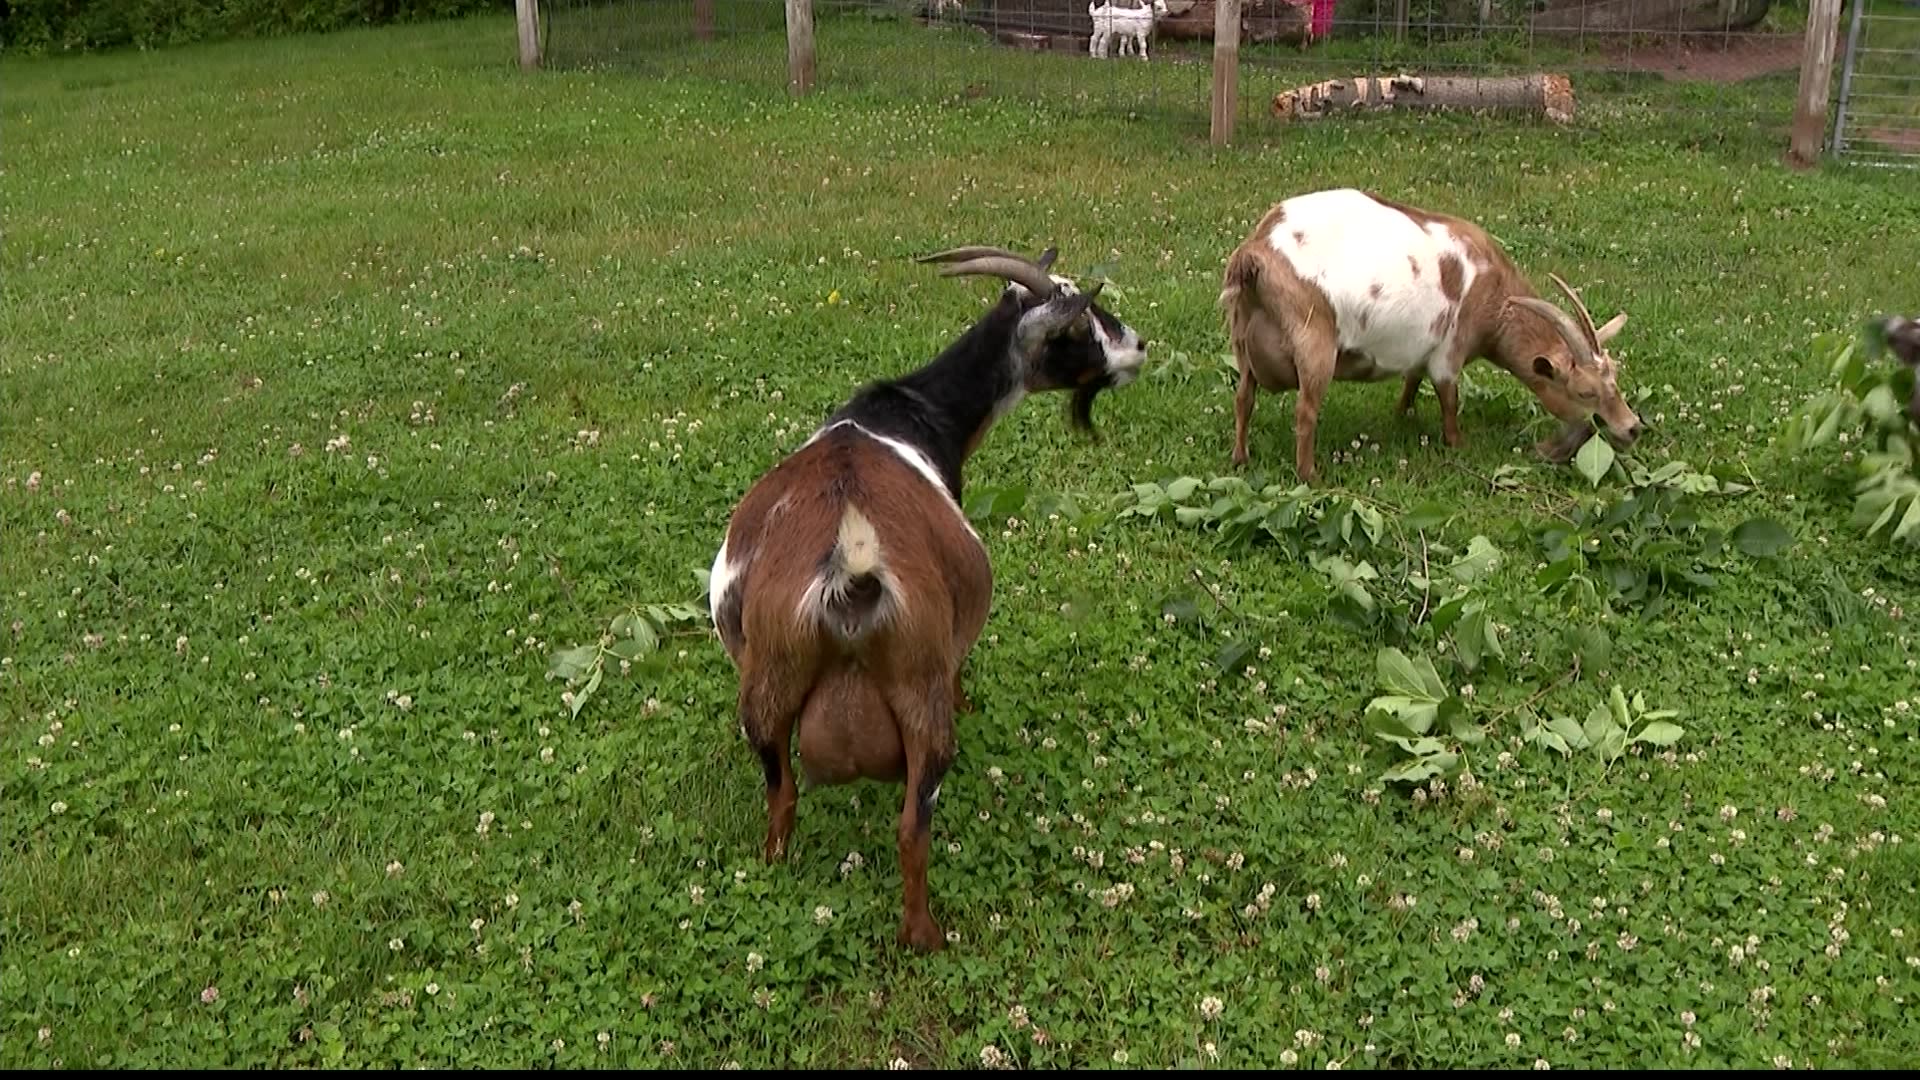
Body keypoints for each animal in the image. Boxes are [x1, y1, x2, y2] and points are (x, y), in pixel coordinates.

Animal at [708, 246, 1148, 953]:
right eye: (1079, 326)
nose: (1137, 345)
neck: (913, 410)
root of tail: (849, 576)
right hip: (921, 695)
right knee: (913, 828)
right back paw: (925, 936)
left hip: (766, 688)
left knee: (782, 796)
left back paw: (775, 867)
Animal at [1219, 187, 1644, 482]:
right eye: (1585, 392)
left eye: (1616, 380)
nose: (1632, 428)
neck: (1493, 291)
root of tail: (1256, 252)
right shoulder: (1450, 349)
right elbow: (1449, 399)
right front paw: (1458, 445)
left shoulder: (1421, 346)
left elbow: (1411, 380)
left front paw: (1401, 414)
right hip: (1314, 341)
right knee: (1305, 411)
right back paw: (1311, 476)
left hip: (1241, 338)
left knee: (1243, 398)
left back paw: (1240, 459)